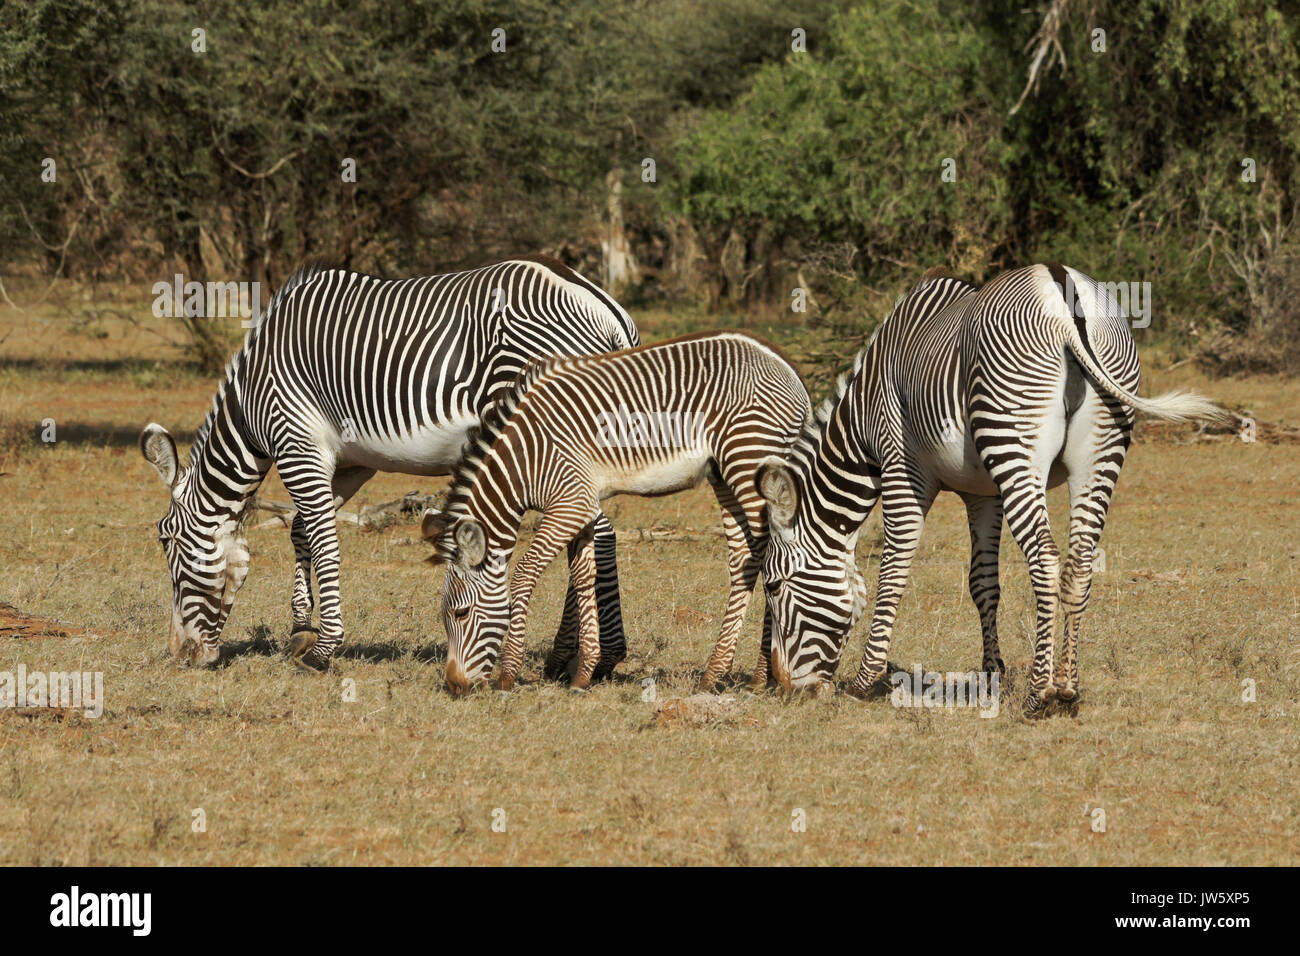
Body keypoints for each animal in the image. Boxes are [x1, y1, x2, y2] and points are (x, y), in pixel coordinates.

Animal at [138, 256, 640, 674]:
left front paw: (323, 650)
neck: (250, 403)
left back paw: (594, 656)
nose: (179, 655)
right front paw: (301, 629)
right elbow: (300, 530)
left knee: (593, 530)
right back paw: (573, 656)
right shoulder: (351, 462)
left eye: (166, 540)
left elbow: (323, 540)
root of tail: (604, 308)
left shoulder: (297, 444)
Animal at [419, 331, 813, 694]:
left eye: (460, 613)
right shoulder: (579, 507)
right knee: (747, 557)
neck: (524, 458)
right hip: (723, 474)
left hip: (749, 461)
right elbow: (583, 577)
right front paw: (582, 674)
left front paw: (508, 675)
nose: (455, 686)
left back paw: (762, 675)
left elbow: (524, 575)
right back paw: (715, 673)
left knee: (772, 553)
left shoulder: (570, 503)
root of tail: (787, 365)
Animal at [755, 263, 1228, 716]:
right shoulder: (983, 494)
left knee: (1046, 560)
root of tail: (1061, 288)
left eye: (773, 586)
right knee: (1079, 563)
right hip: (1100, 450)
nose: (785, 687)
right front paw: (991, 673)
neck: (862, 422)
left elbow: (893, 571)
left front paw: (864, 680)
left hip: (1013, 440)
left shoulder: (902, 469)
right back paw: (1067, 689)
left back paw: (1039, 694)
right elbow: (983, 583)